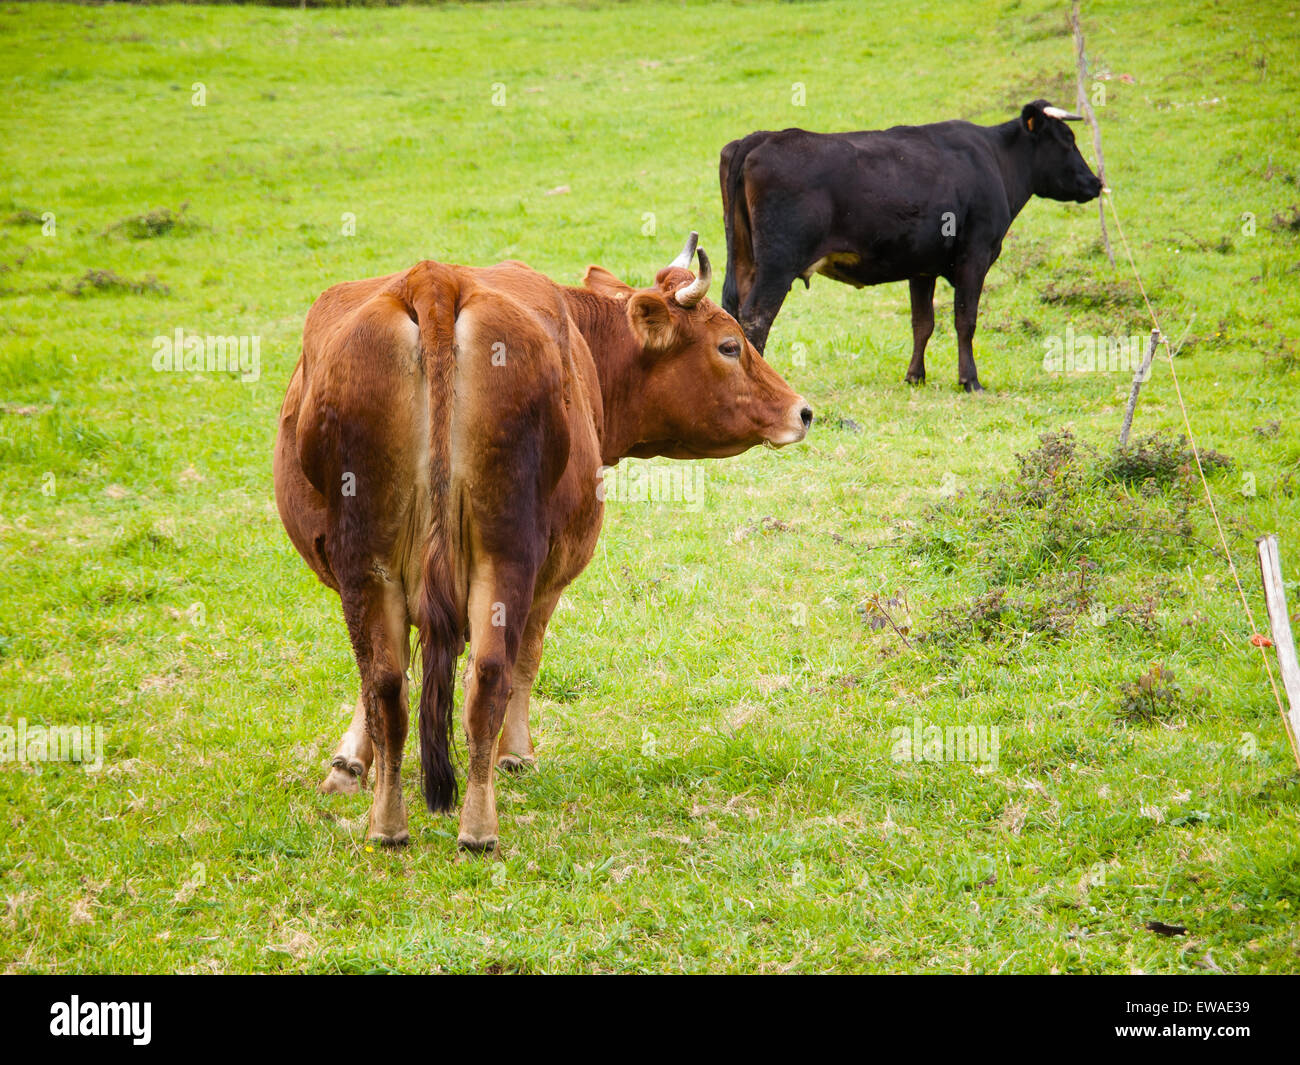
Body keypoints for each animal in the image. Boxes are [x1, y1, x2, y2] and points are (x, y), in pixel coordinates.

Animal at [273, 234, 812, 852]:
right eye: (729, 346)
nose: (802, 411)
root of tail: (435, 282)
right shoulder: (555, 570)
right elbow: (526, 661)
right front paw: (516, 755)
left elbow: (379, 675)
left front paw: (349, 763)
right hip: (506, 557)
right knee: (489, 674)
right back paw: (479, 827)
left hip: (372, 559)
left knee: (387, 680)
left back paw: (389, 825)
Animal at [720, 100, 1104, 391]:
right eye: (1067, 140)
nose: (1096, 182)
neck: (993, 160)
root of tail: (762, 137)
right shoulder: (975, 255)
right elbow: (965, 319)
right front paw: (970, 381)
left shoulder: (922, 268)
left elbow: (923, 323)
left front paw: (915, 376)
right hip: (778, 264)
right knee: (756, 317)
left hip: (744, 259)